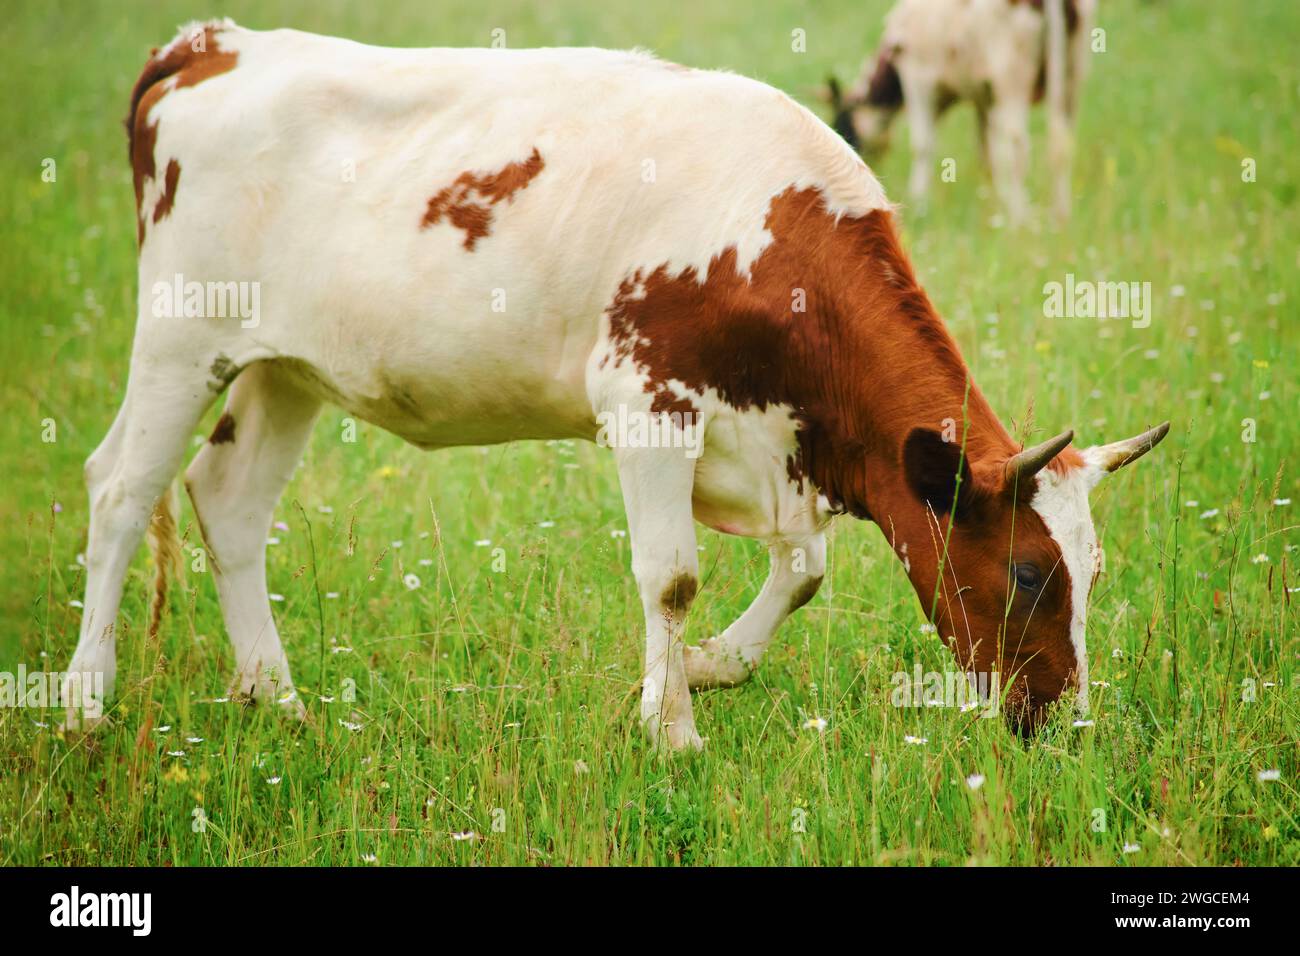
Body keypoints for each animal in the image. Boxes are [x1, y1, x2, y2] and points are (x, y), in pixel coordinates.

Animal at [824, 0, 1096, 222]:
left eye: (844, 128)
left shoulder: (918, 78)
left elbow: (922, 146)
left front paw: (918, 200)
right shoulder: (984, 98)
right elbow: (986, 154)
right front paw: (992, 203)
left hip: (1012, 75)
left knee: (1017, 147)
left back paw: (1018, 220)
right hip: (1073, 71)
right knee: (1061, 145)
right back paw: (1060, 217)